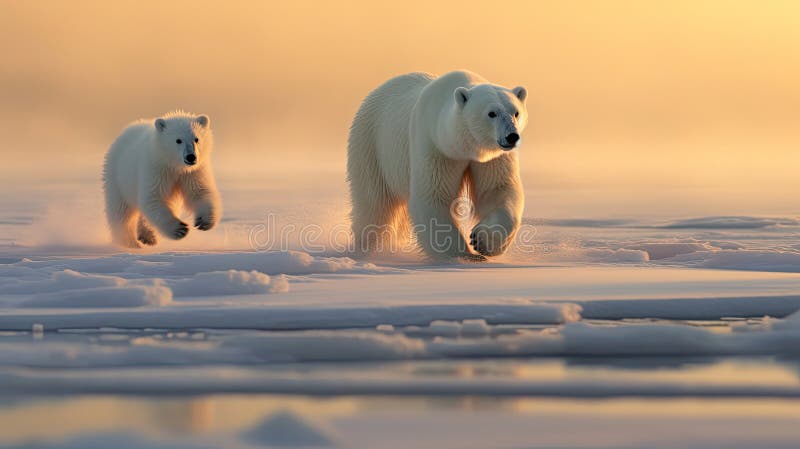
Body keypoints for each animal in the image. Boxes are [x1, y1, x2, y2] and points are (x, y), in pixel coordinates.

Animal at [103, 110, 221, 248]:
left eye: (196, 139)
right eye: (178, 140)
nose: (191, 156)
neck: (174, 165)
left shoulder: (193, 172)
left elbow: (199, 191)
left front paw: (205, 221)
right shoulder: (157, 169)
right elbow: (153, 198)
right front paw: (180, 229)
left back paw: (148, 237)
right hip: (118, 178)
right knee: (121, 212)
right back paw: (129, 241)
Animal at [347, 70, 528, 260]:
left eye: (516, 112)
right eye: (492, 113)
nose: (512, 136)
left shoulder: (492, 157)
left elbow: (497, 190)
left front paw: (482, 241)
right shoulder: (435, 146)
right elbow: (433, 195)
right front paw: (462, 255)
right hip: (371, 147)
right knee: (374, 205)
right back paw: (366, 248)